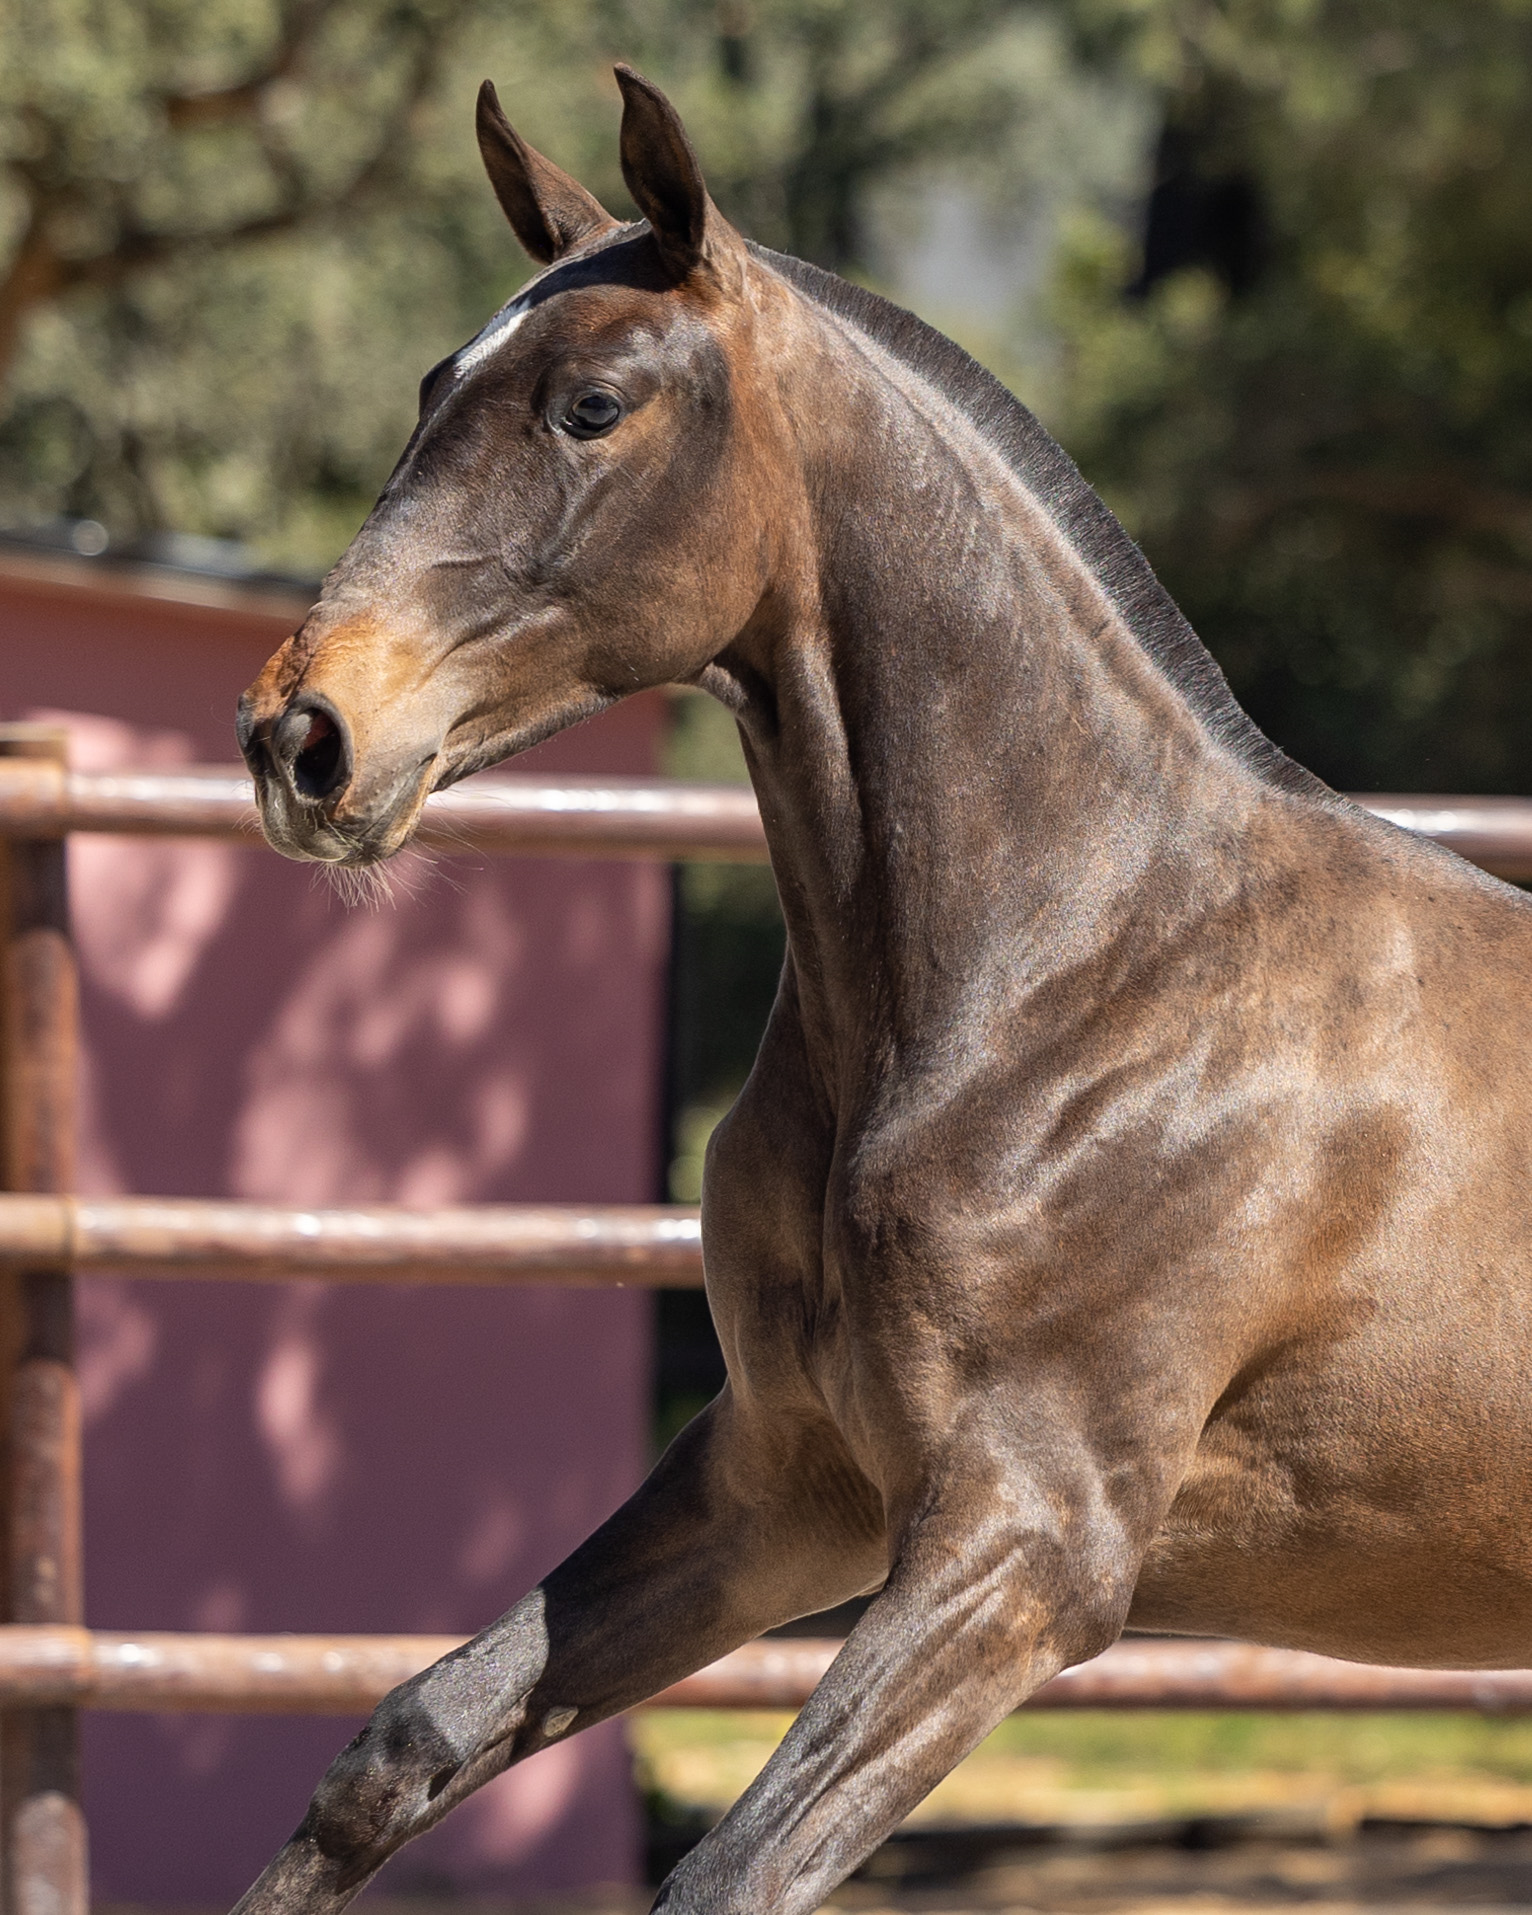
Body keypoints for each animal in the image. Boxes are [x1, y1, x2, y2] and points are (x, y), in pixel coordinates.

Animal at [233, 64, 1532, 1915]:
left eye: (593, 403)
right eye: (434, 387)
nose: (303, 735)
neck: (1074, 984)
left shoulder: (1028, 1547)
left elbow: (729, 1875)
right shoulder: (787, 1489)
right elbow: (399, 1748)